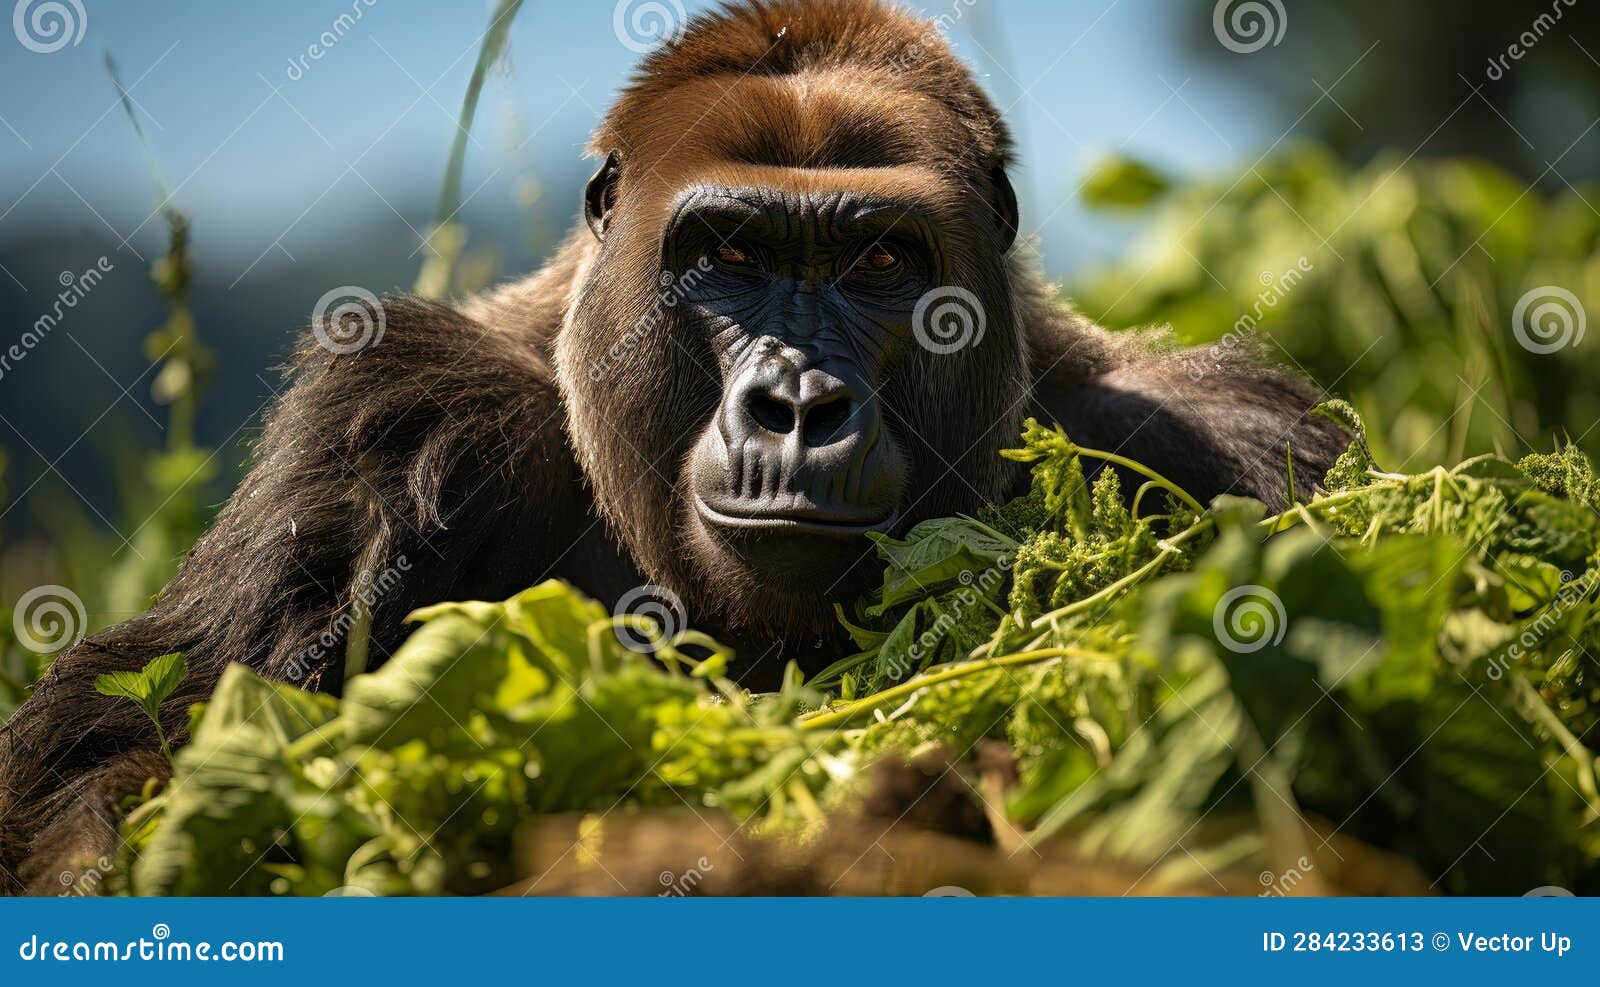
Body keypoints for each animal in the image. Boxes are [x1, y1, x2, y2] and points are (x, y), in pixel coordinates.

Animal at [0, 0, 1347, 893]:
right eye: (731, 255)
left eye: (879, 260)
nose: (797, 405)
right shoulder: (395, 412)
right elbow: (121, 753)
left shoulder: (1215, 443)